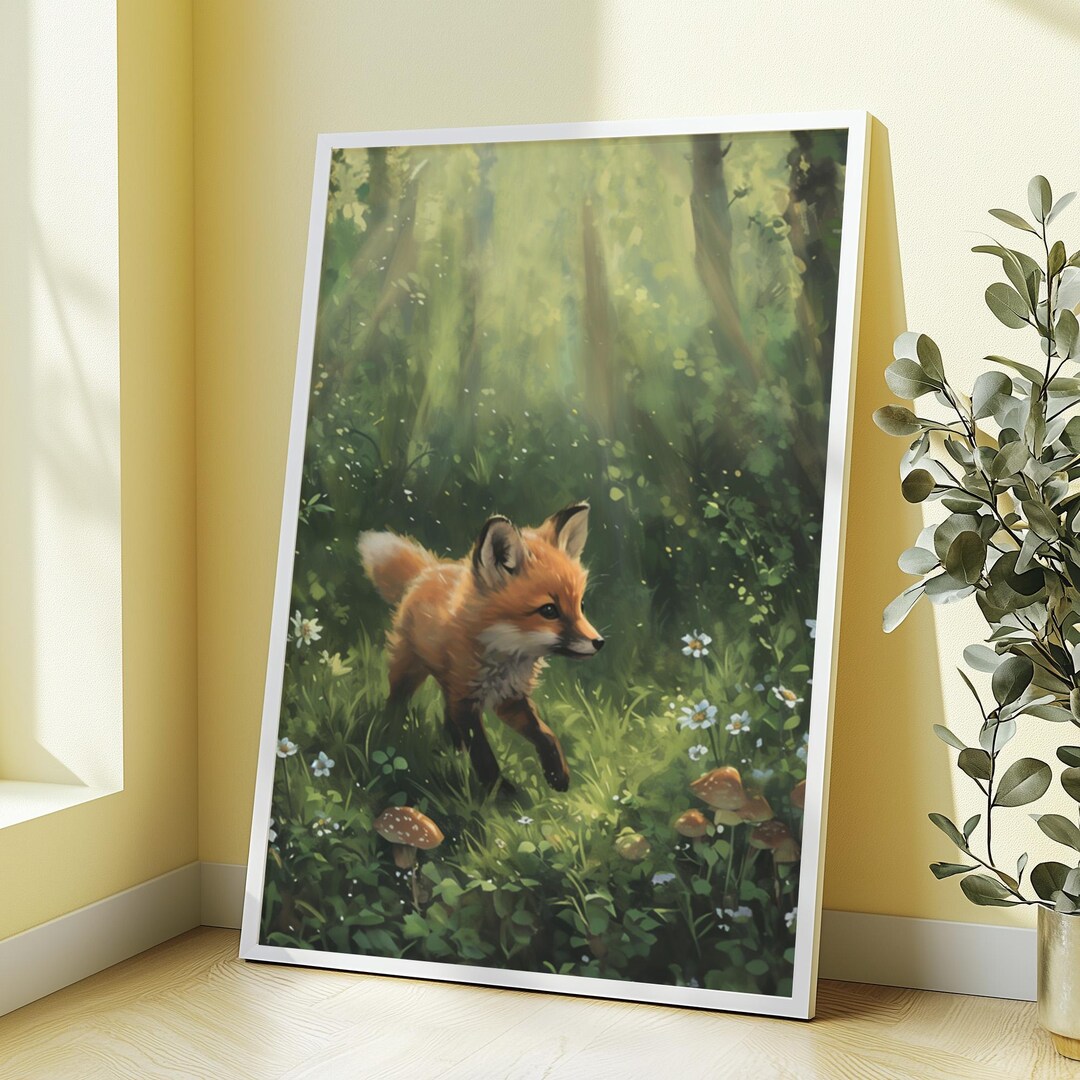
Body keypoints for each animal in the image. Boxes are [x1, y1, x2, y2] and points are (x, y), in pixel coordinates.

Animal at [358, 502, 604, 793]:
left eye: (581, 606)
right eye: (548, 611)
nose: (599, 642)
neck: (504, 657)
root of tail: (429, 571)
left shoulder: (511, 699)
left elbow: (545, 734)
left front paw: (557, 774)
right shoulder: (465, 700)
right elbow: (483, 753)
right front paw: (501, 793)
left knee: (446, 716)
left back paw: (452, 747)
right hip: (409, 669)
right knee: (396, 701)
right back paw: (390, 733)